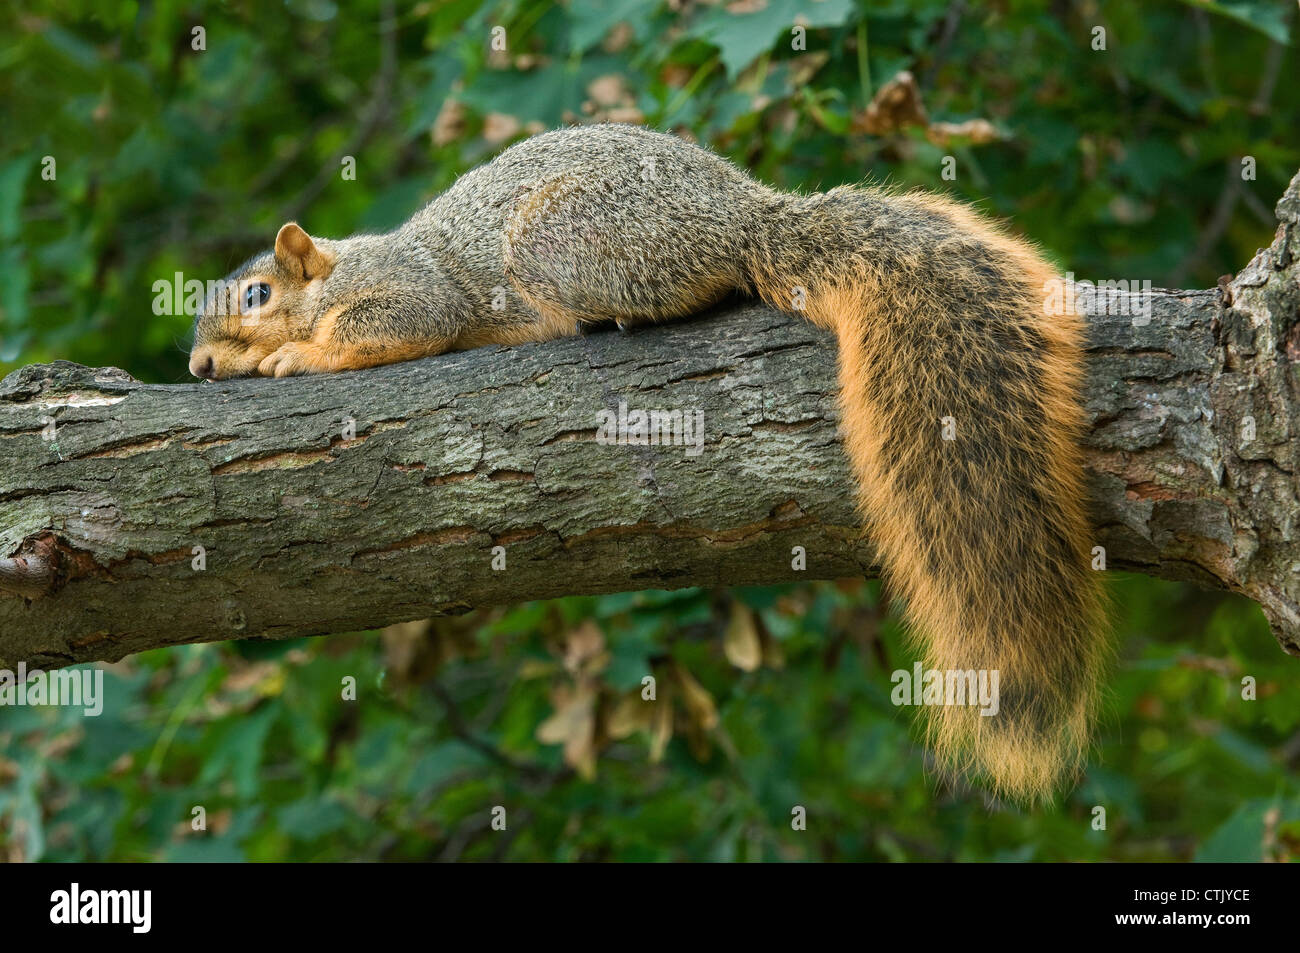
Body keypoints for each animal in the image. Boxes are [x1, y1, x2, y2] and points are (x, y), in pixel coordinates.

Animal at [189, 122, 1107, 800]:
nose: (197, 366)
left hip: (566, 240)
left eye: (256, 294)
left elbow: (394, 325)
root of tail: (742, 217)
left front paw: (297, 357)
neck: (340, 267)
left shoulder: (412, 289)